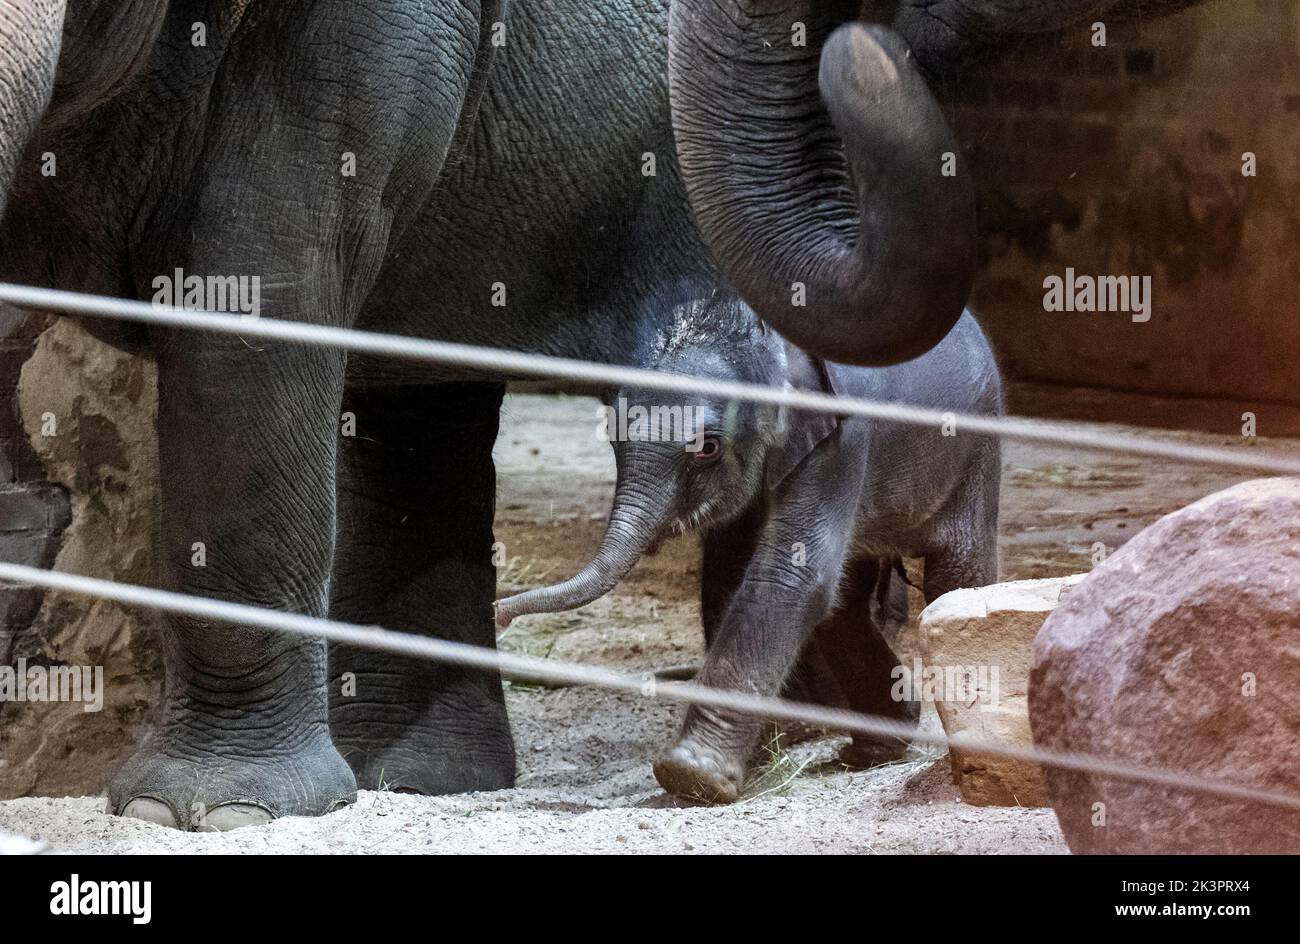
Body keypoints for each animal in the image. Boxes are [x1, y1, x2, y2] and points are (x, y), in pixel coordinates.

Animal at [495, 296, 1003, 802]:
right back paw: (872, 751)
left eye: (707, 448)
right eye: (613, 437)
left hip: (978, 443)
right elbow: (737, 569)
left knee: (955, 574)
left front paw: (690, 775)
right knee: (844, 603)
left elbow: (788, 575)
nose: (500, 612)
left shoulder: (841, 443)